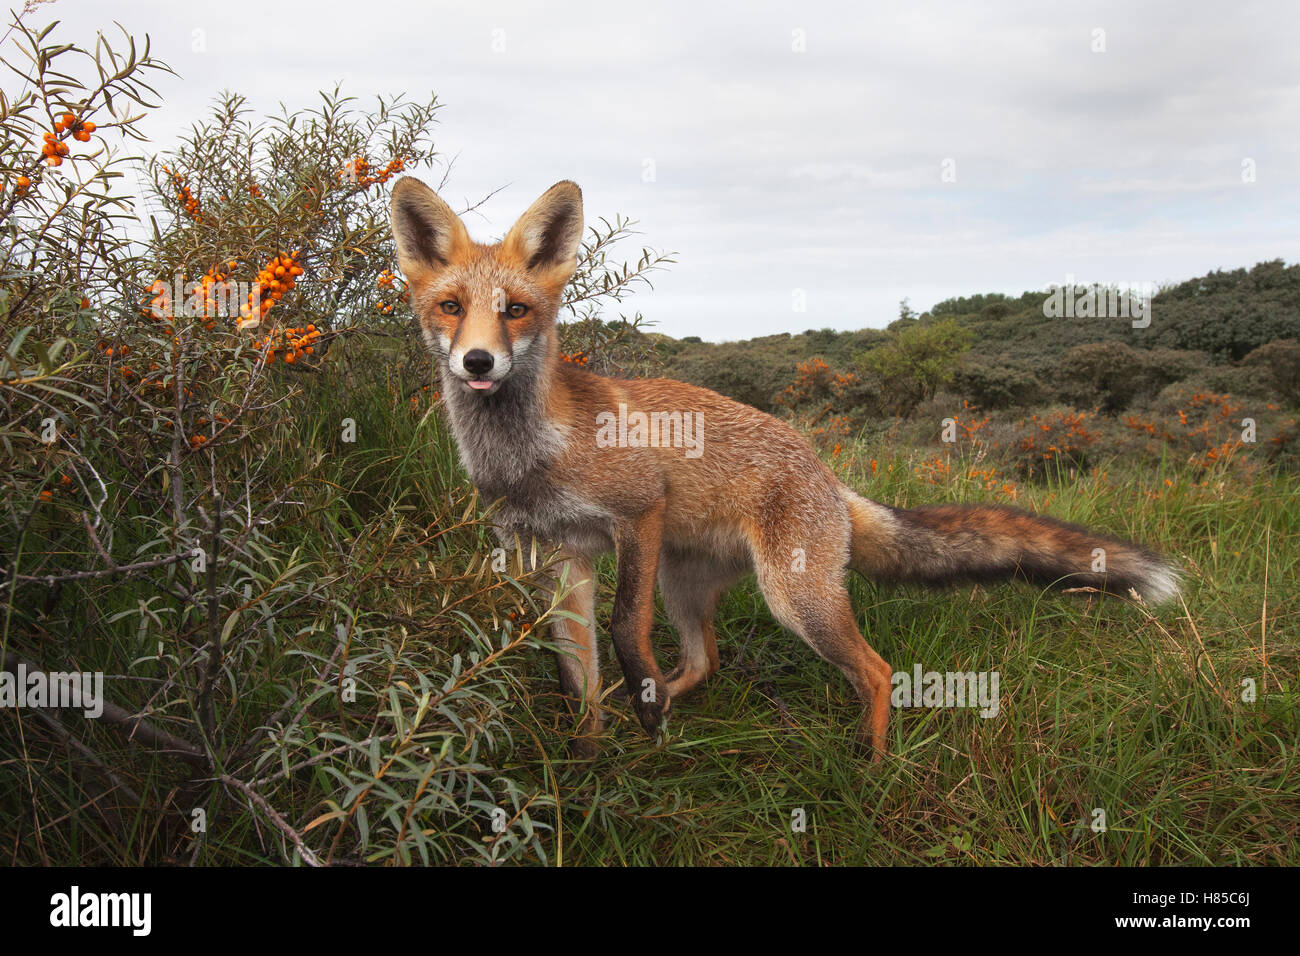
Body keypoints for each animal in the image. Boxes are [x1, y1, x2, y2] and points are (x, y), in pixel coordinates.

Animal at [389, 176, 1181, 760]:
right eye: (451, 307)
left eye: (517, 310)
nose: (478, 363)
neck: (531, 457)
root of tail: (828, 476)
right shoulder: (552, 557)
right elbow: (575, 675)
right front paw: (588, 760)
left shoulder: (640, 511)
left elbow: (622, 630)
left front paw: (633, 712)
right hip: (687, 583)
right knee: (705, 662)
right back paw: (666, 708)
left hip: (792, 598)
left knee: (876, 671)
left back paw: (869, 765)